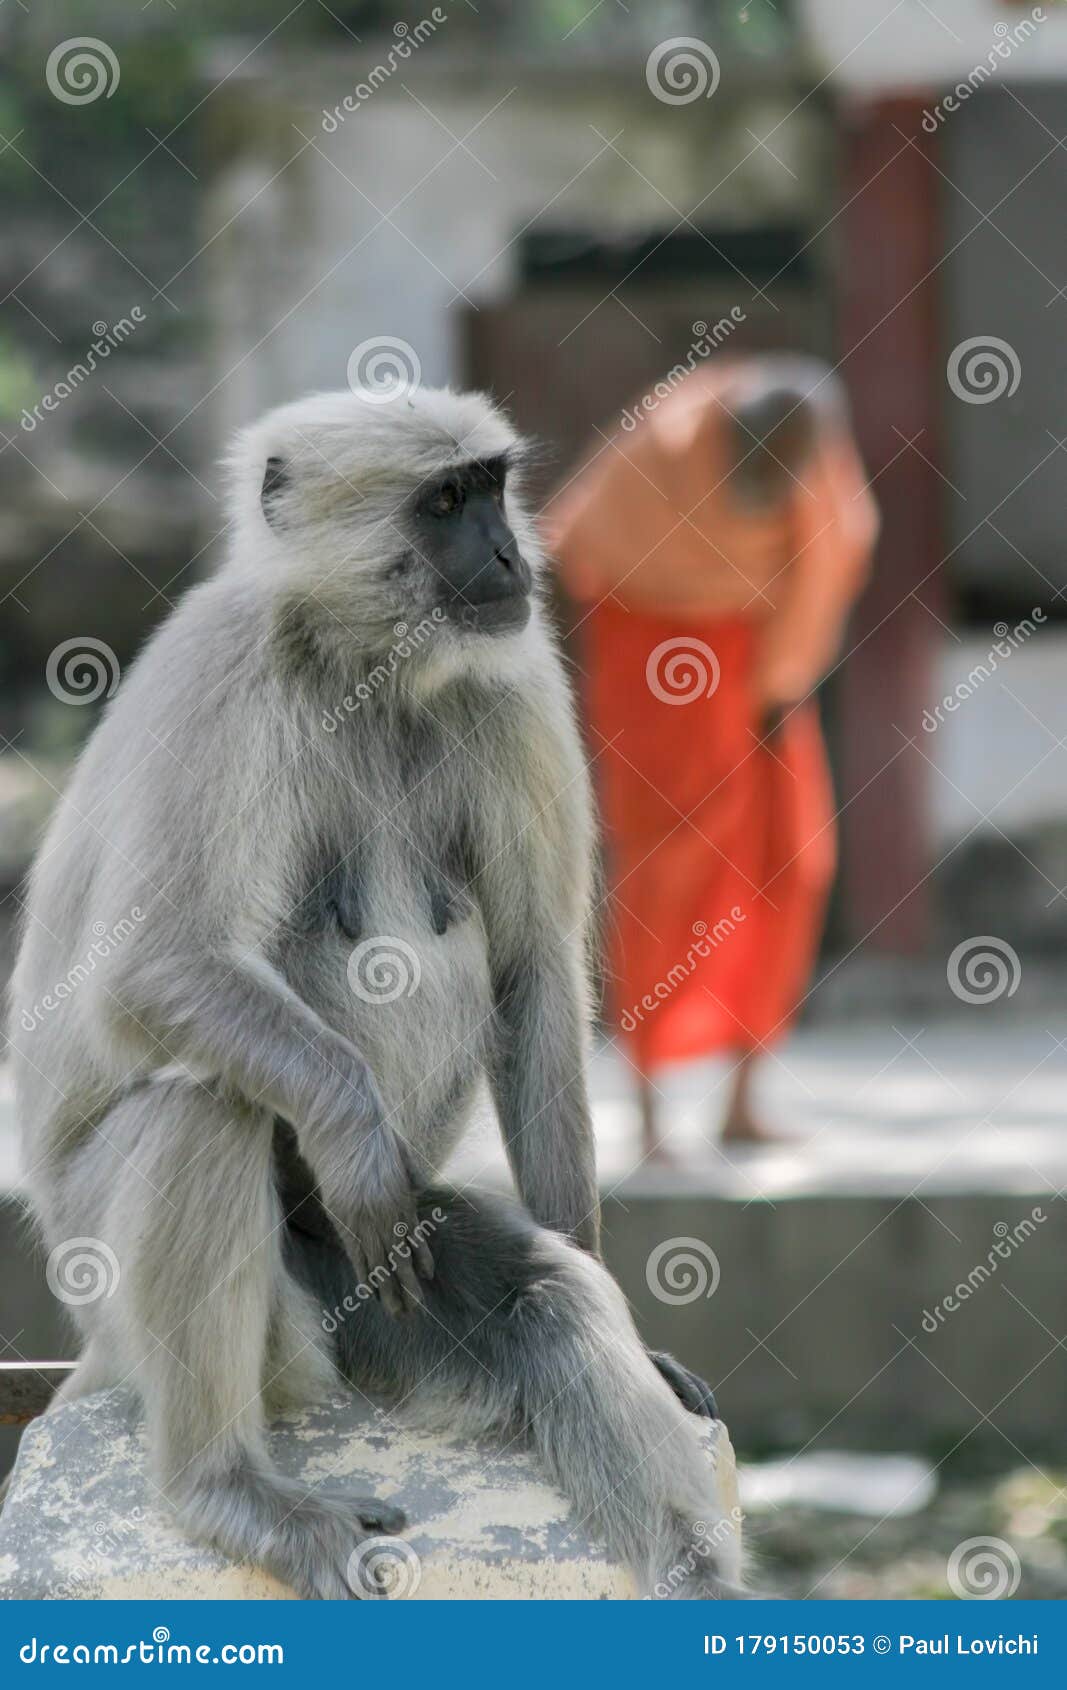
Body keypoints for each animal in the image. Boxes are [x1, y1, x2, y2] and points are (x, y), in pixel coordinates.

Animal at [9, 386, 743, 1600]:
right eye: (443, 503)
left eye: (491, 488)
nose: (509, 552)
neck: (369, 664)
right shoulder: (229, 664)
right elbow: (155, 962)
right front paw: (351, 1130)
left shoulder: (514, 669)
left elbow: (531, 969)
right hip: (101, 1275)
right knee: (202, 1107)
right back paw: (225, 1490)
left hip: (359, 1304)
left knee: (543, 1294)